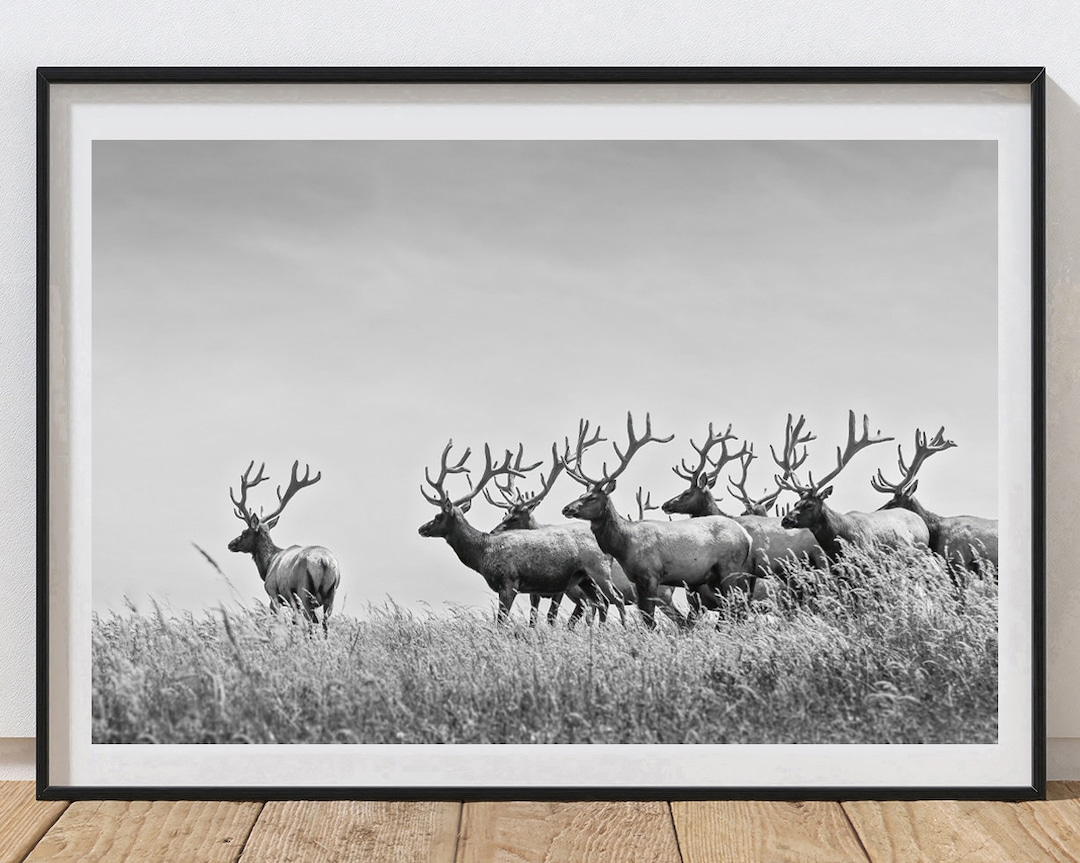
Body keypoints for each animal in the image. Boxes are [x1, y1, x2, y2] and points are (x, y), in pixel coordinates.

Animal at [226, 460, 341, 633]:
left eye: (245, 532)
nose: (231, 544)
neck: (267, 564)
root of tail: (324, 562)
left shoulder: (273, 593)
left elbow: (277, 620)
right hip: (331, 594)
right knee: (325, 622)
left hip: (303, 591)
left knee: (310, 621)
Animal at [417, 440, 608, 625]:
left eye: (438, 516)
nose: (421, 528)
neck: (482, 553)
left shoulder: (509, 582)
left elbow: (501, 621)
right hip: (585, 580)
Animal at [561, 412, 754, 628]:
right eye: (581, 493)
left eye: (592, 497)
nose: (566, 508)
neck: (625, 545)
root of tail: (747, 538)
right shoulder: (638, 580)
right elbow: (647, 618)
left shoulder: (651, 575)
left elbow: (649, 621)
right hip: (714, 577)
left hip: (729, 568)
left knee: (735, 607)